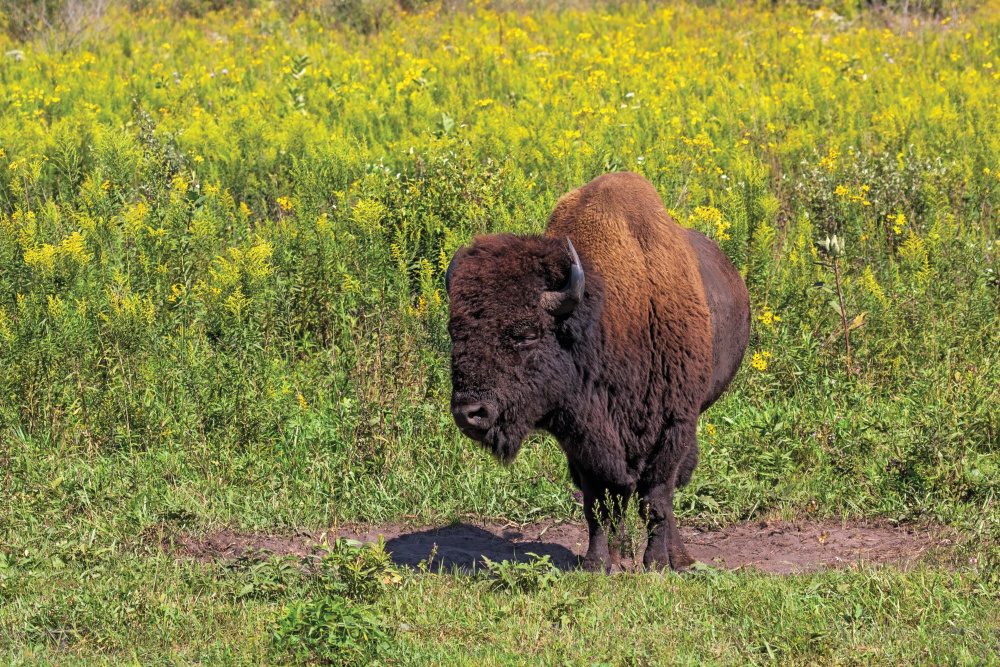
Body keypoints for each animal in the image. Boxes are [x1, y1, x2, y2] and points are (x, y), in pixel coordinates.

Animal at [445, 172, 750, 571]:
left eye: (526, 334)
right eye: (455, 332)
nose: (469, 413)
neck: (603, 319)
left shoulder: (674, 425)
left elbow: (656, 498)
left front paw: (656, 562)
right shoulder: (581, 439)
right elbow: (599, 505)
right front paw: (600, 563)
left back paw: (679, 558)